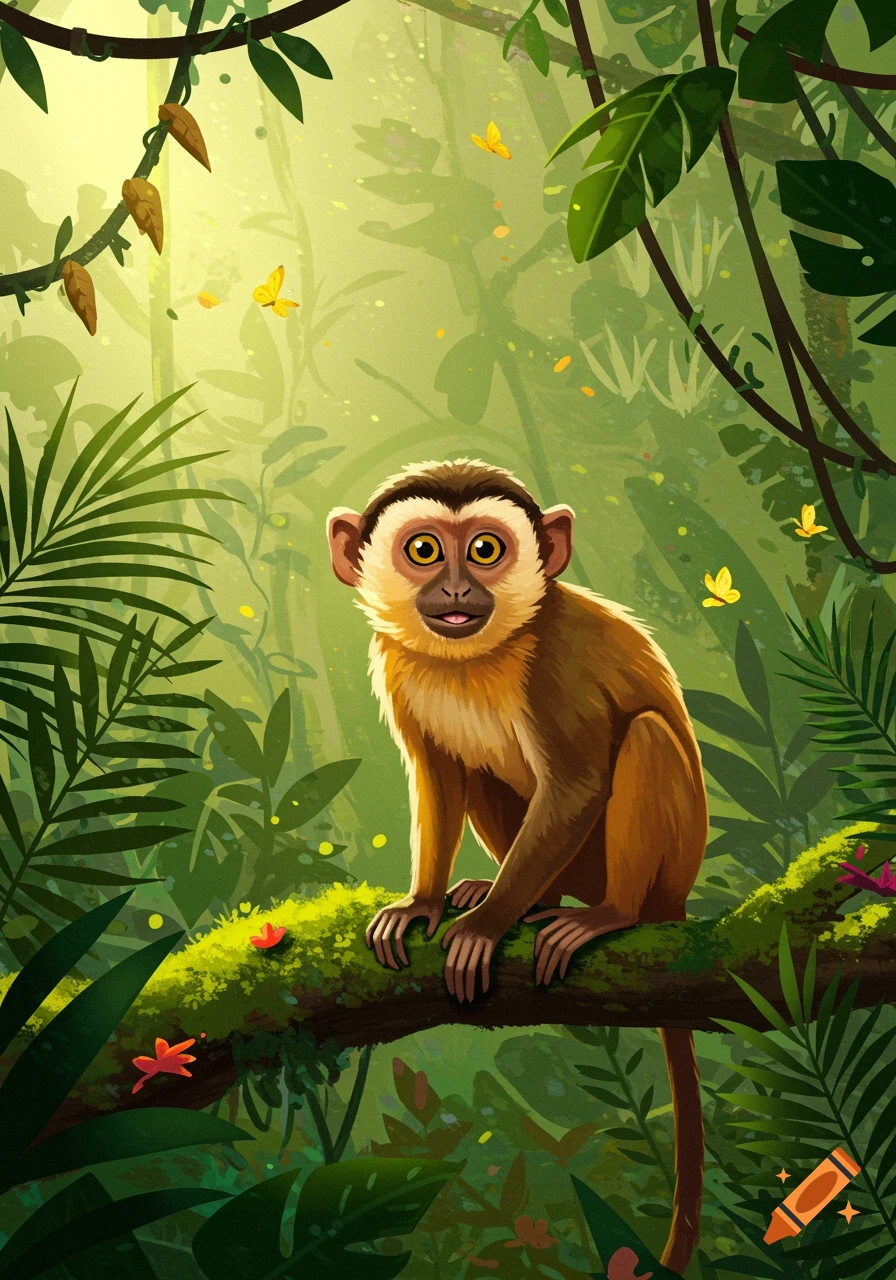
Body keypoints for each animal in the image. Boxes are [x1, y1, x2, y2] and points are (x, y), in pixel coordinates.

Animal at [326, 458, 708, 1274]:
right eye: (426, 551)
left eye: (487, 551)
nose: (457, 591)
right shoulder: (395, 663)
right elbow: (436, 773)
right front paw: (426, 903)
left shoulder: (553, 661)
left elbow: (578, 784)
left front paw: (485, 927)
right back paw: (533, 899)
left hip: (661, 866)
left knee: (645, 739)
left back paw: (602, 914)